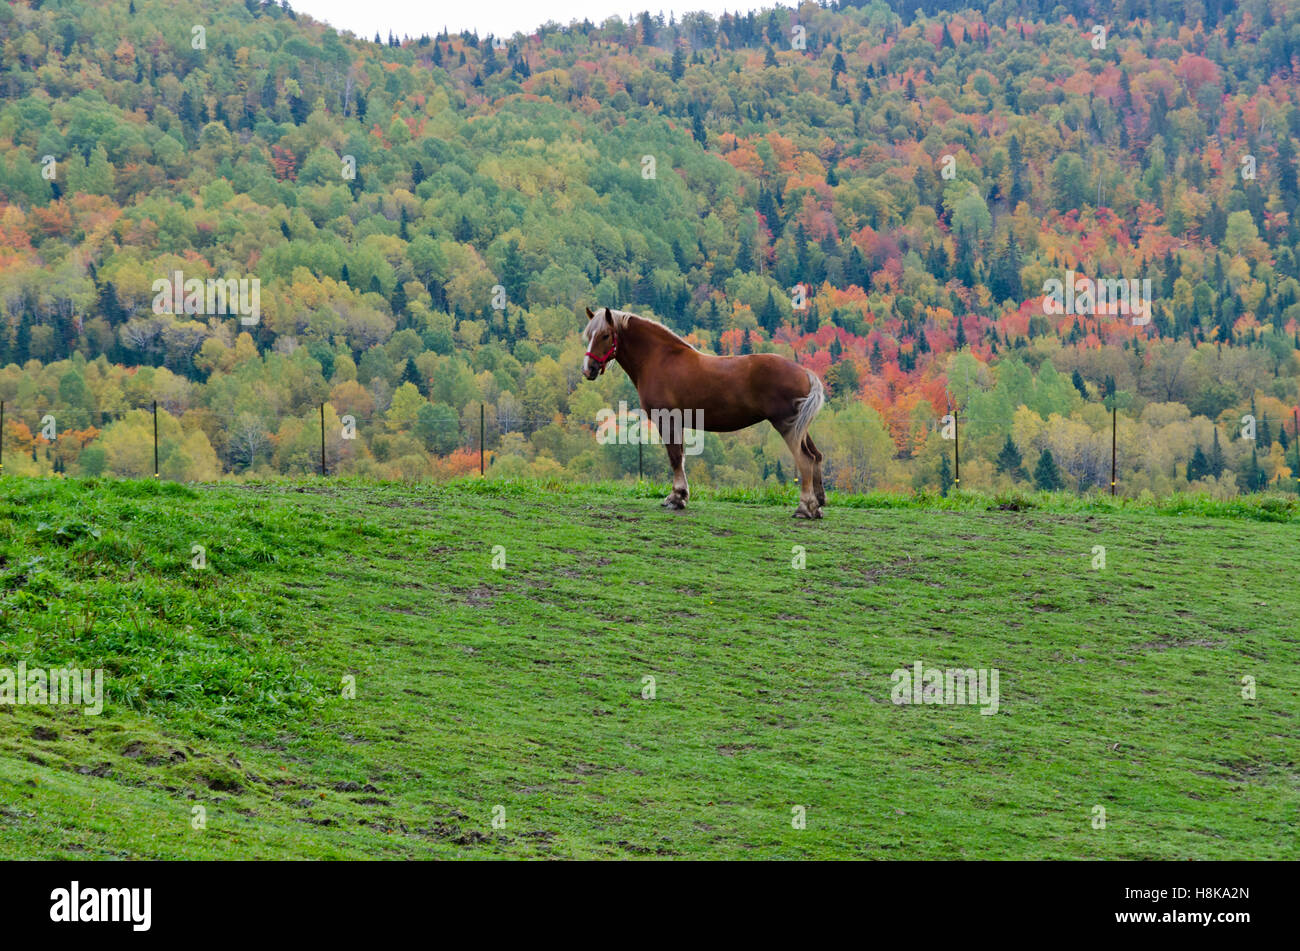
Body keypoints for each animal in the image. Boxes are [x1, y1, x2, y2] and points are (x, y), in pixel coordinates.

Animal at [581, 307, 827, 518]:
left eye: (604, 335)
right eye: (589, 335)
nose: (588, 370)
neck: (660, 358)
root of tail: (805, 373)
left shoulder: (666, 419)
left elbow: (675, 457)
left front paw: (676, 497)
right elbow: (680, 456)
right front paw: (680, 495)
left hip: (786, 426)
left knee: (805, 460)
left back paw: (804, 507)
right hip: (798, 428)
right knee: (816, 456)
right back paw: (817, 505)